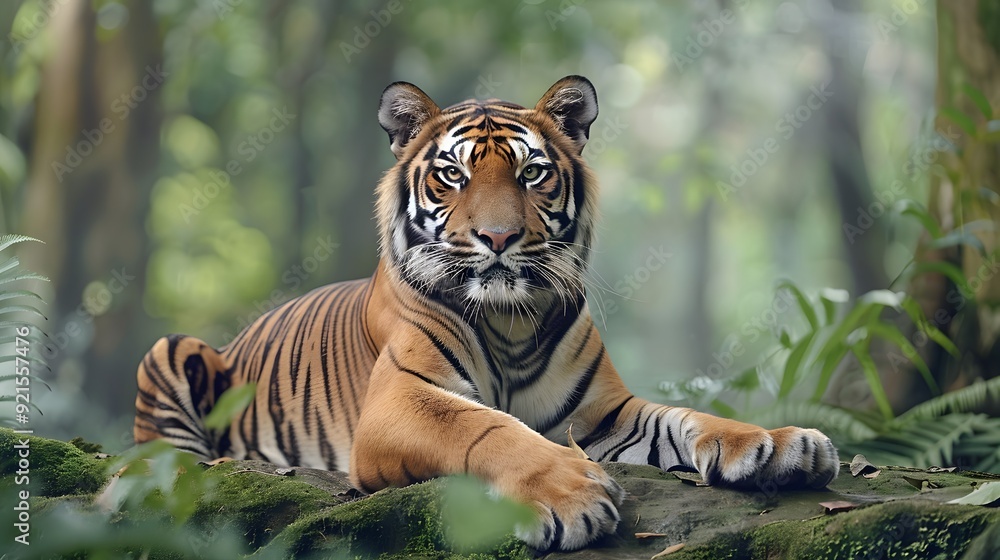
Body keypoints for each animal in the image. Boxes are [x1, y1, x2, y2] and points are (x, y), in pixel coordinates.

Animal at [133, 76, 839, 551]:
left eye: (531, 174)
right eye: (452, 174)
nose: (498, 237)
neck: (510, 322)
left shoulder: (602, 412)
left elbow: (686, 417)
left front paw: (779, 444)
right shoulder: (402, 399)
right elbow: (487, 428)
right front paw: (574, 495)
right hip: (171, 350)